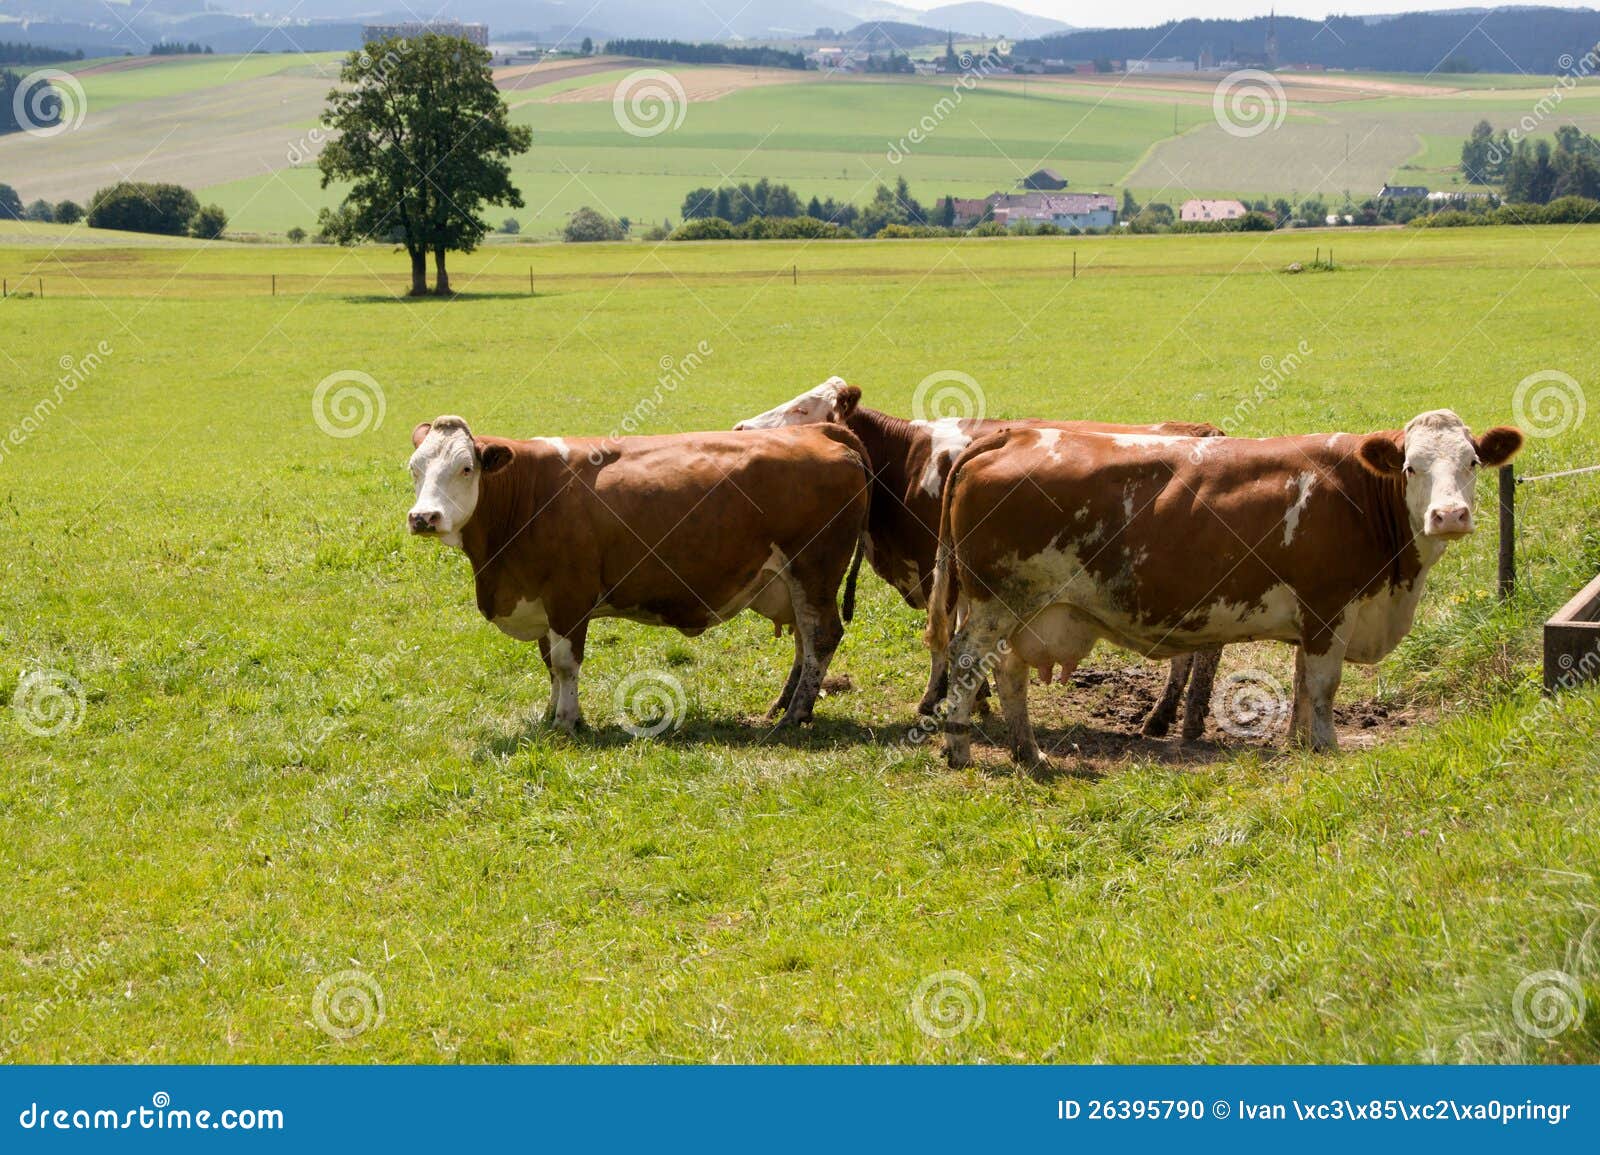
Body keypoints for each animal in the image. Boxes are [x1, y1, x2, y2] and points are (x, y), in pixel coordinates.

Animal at [406, 416, 870, 731]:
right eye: (414, 469)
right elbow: (548, 662)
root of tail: (822, 431)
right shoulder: (540, 598)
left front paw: (567, 722)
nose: (423, 517)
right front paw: (551, 712)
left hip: (814, 570)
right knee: (804, 640)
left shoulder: (568, 596)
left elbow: (565, 663)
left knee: (821, 636)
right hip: (795, 581)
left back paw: (794, 715)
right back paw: (784, 706)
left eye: (466, 468)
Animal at [735, 377, 1222, 741]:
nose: (739, 428)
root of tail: (1202, 431)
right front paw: (978, 694)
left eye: (804, 409)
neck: (910, 459)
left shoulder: (939, 569)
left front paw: (936, 699)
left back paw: (1176, 719)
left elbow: (944, 639)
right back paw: (1169, 718)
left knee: (1202, 653)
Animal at [925, 410, 1524, 768]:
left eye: (1473, 462)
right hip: (997, 603)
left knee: (1009, 672)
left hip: (1024, 609)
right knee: (965, 658)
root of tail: (1009, 436)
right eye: (1410, 467)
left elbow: (1302, 685)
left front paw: (1299, 744)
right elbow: (1323, 687)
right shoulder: (1330, 607)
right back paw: (959, 749)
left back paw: (1029, 752)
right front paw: (1327, 748)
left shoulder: (1314, 619)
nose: (1450, 515)